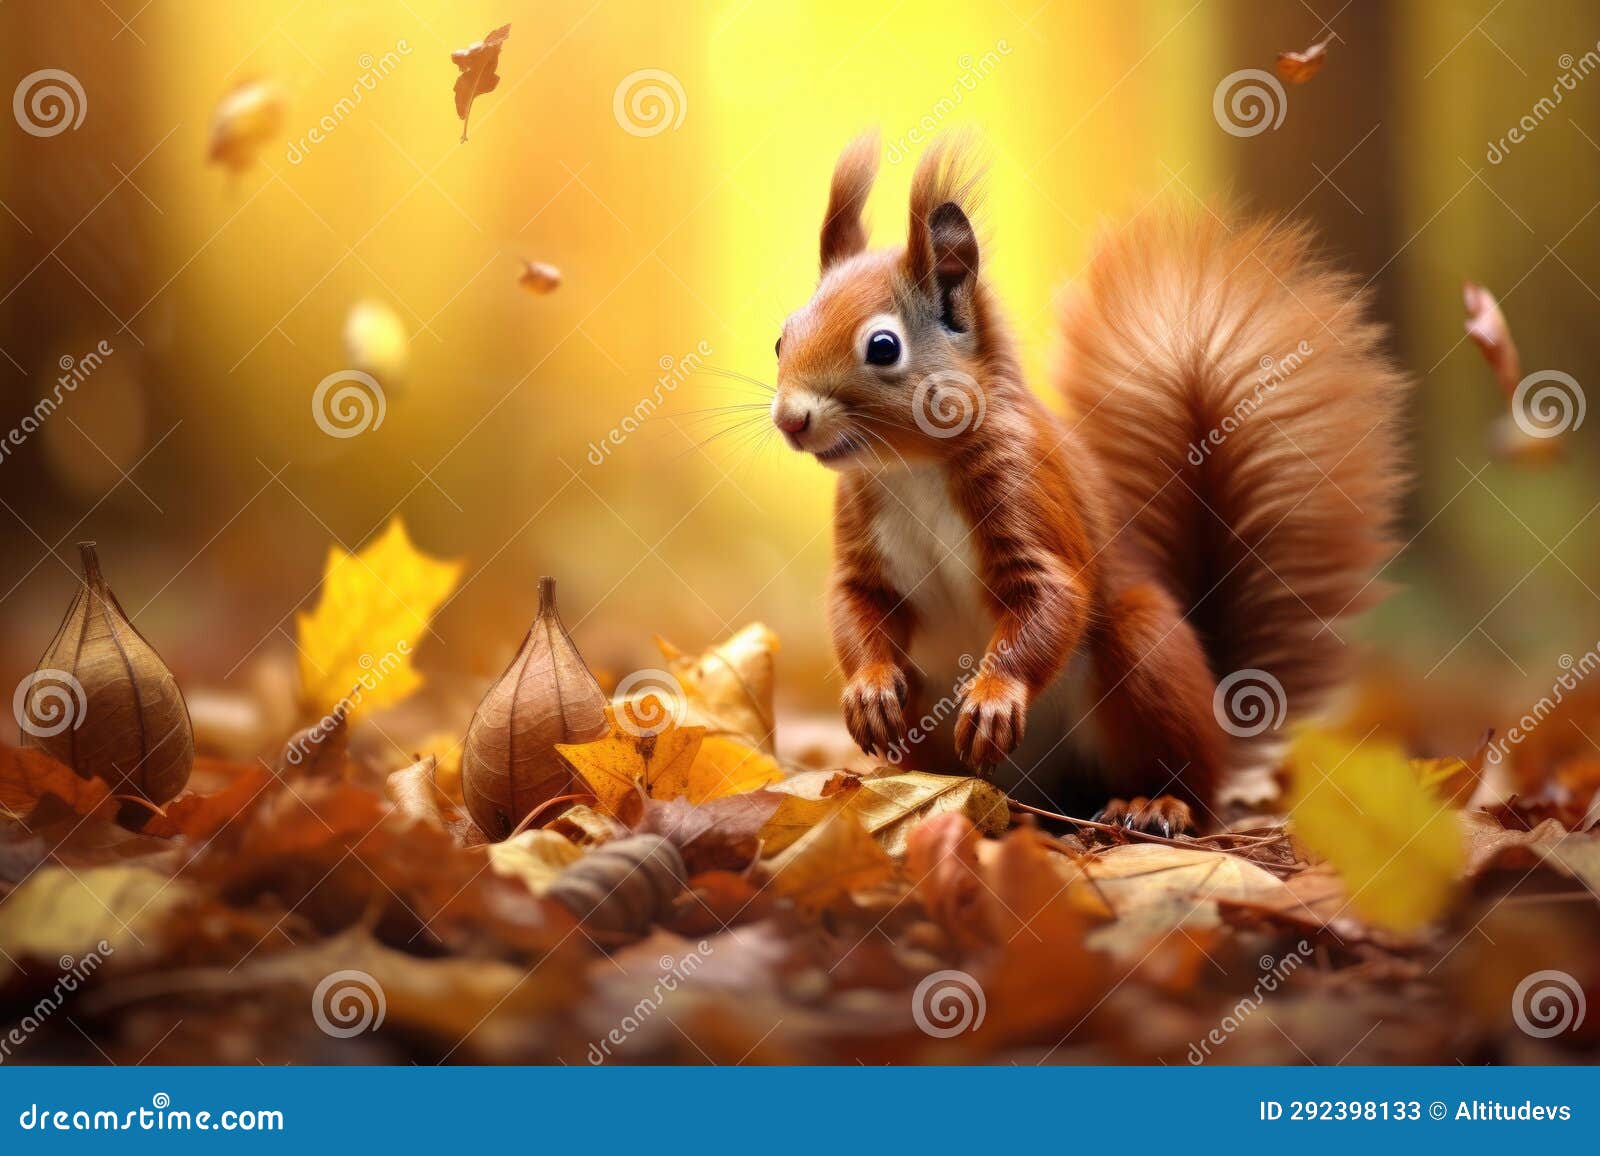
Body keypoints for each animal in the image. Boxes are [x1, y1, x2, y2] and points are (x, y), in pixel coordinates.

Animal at [768, 134, 1408, 835]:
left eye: (883, 347)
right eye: (781, 338)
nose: (790, 418)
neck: (912, 470)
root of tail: (1046, 795)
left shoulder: (1027, 489)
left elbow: (1052, 598)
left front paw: (994, 698)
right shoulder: (863, 531)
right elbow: (856, 605)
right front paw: (869, 689)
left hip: (1146, 656)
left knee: (1188, 781)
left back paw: (1155, 803)